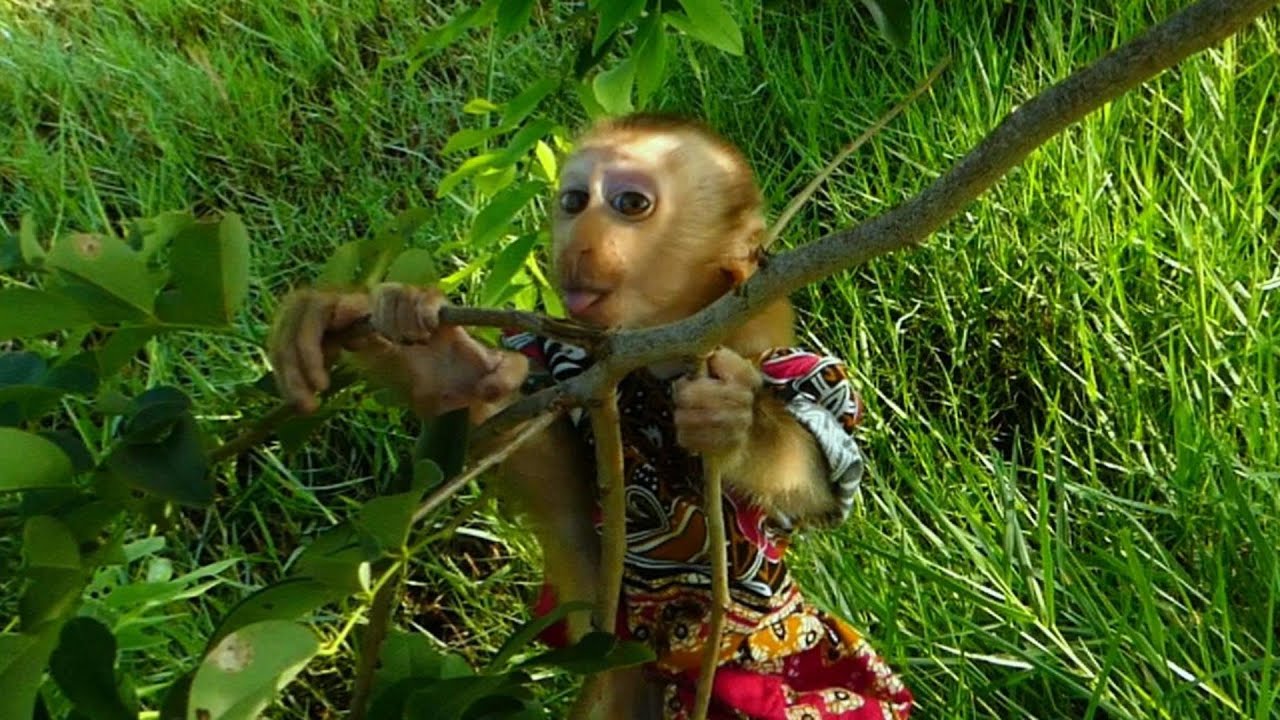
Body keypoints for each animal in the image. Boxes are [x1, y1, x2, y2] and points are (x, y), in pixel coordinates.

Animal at [268, 113, 913, 719]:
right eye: (575, 201)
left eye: (630, 204)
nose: (577, 240)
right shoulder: (573, 359)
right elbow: (569, 509)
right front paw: (446, 365)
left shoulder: (773, 353)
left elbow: (824, 469)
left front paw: (738, 423)